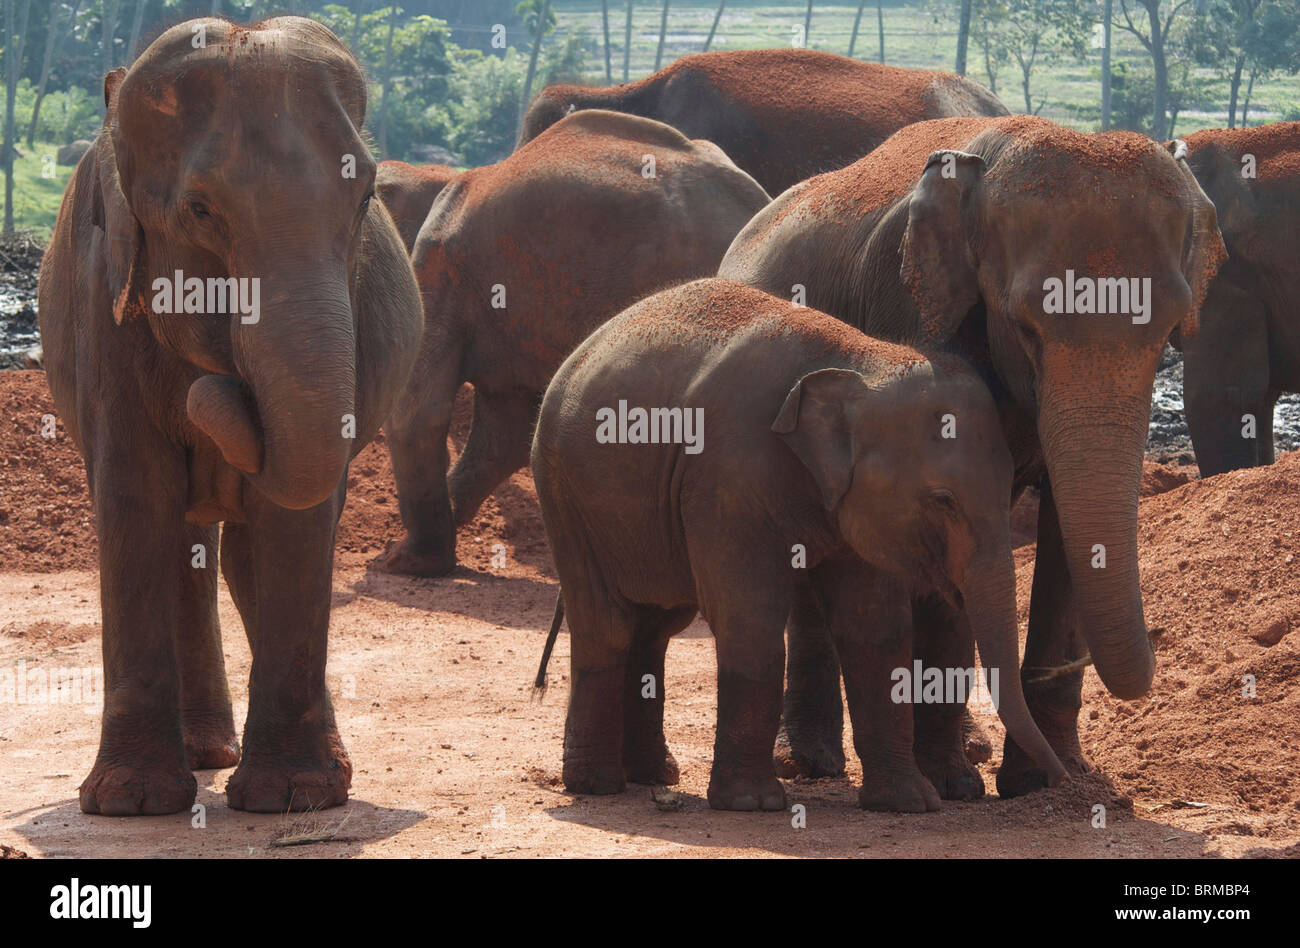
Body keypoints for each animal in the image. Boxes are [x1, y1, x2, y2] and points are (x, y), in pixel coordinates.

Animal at [37, 17, 424, 815]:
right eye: (200, 212)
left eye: (366, 198)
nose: (214, 390)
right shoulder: (104, 307)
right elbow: (135, 499)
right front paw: (130, 802)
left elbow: (288, 522)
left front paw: (293, 795)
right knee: (186, 532)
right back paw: (203, 756)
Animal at [530, 278, 1066, 812]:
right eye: (944, 500)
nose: (1057, 779)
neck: (861, 360)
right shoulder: (726, 475)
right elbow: (751, 616)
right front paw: (754, 803)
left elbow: (875, 626)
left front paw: (910, 801)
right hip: (563, 495)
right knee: (607, 624)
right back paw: (596, 785)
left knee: (656, 625)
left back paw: (653, 776)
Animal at [719, 114, 1225, 796]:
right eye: (1025, 326)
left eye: (1170, 332)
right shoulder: (910, 308)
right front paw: (959, 785)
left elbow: (1067, 528)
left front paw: (1045, 779)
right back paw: (807, 763)